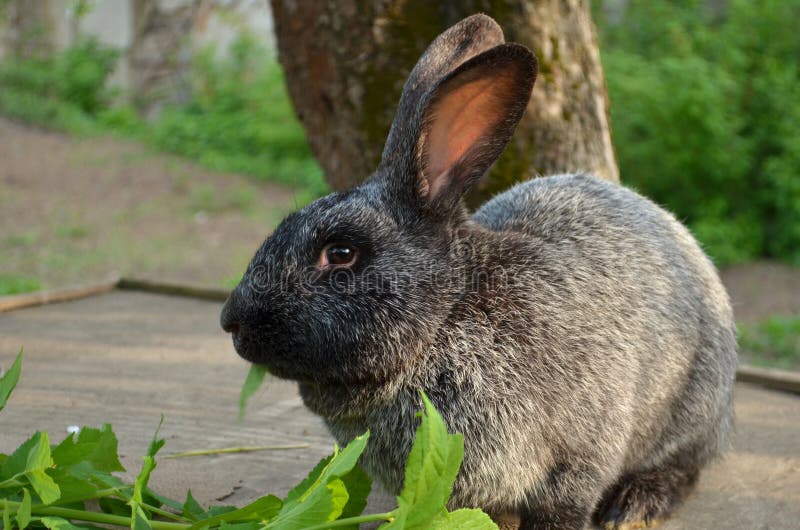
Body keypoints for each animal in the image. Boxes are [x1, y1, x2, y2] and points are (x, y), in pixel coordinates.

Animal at [220, 13, 737, 530]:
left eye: (341, 252)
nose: (231, 321)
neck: (446, 317)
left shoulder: (581, 451)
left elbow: (564, 503)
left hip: (692, 408)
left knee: (686, 466)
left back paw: (634, 505)